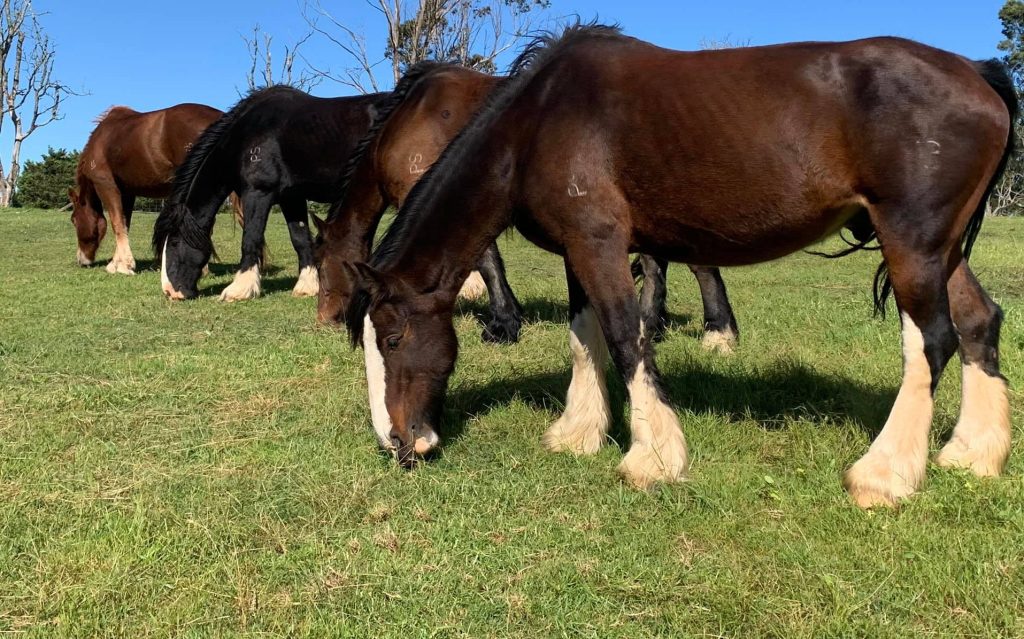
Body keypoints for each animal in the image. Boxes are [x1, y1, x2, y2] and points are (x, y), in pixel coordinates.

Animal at [71, 103, 238, 273]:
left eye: (74, 220)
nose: (81, 260)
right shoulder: (128, 193)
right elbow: (125, 223)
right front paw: (119, 262)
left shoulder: (106, 185)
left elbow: (116, 223)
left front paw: (122, 265)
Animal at [154, 86, 389, 302]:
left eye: (174, 242)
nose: (170, 291)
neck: (248, 135)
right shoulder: (291, 198)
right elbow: (300, 239)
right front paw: (306, 287)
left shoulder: (258, 193)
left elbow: (251, 237)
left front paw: (239, 290)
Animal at [313, 61, 739, 347]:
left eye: (320, 266)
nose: (324, 319)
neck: (409, 119)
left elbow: (487, 263)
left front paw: (503, 325)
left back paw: (715, 329)